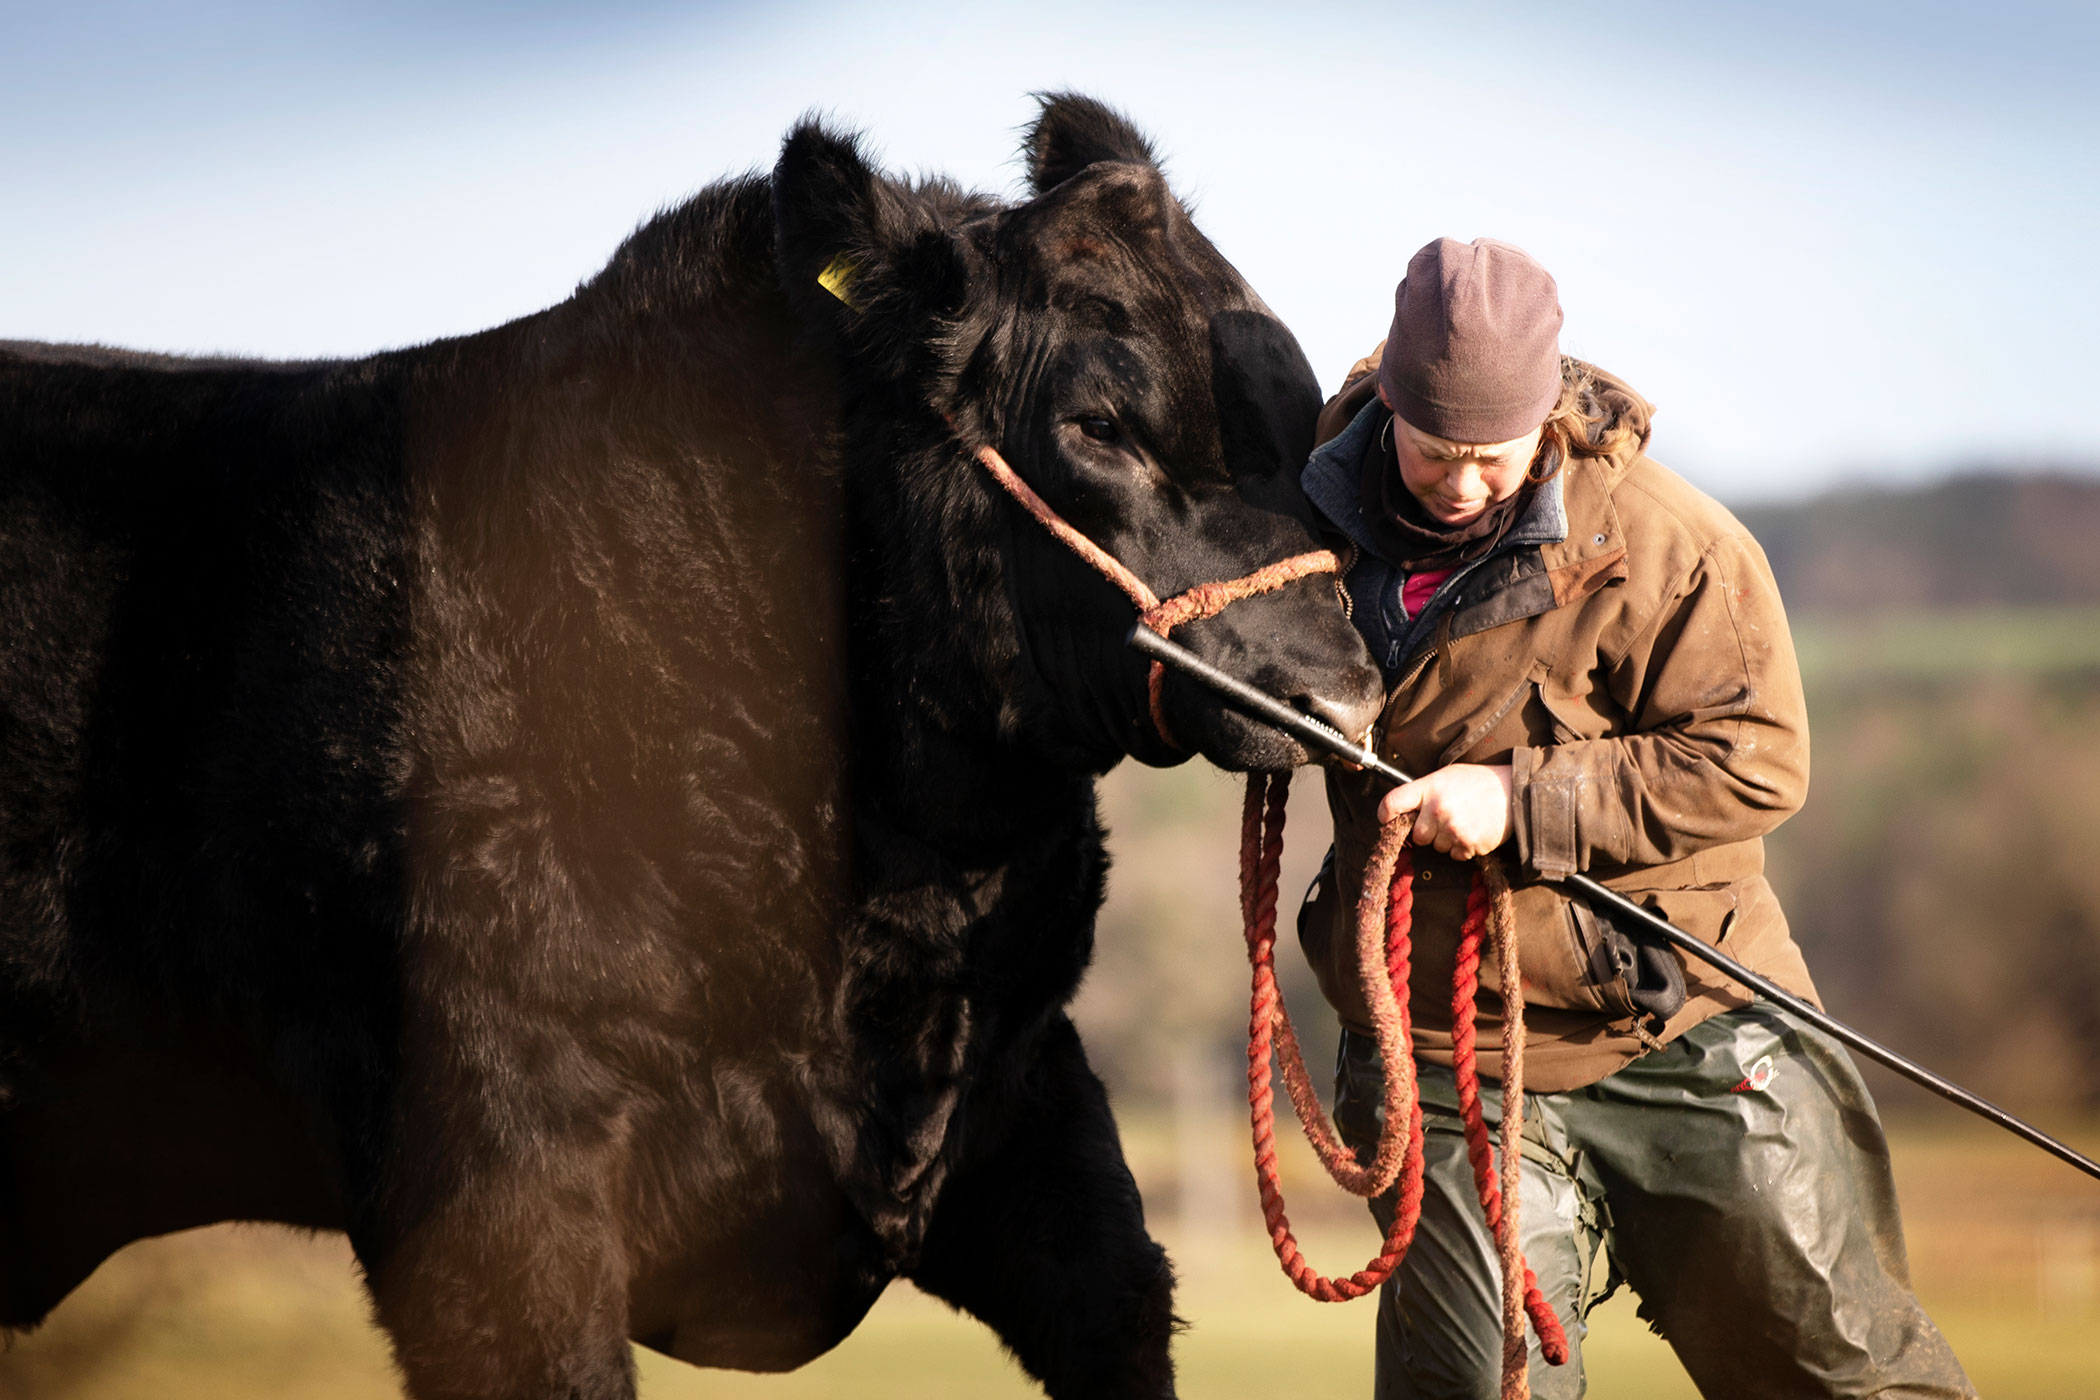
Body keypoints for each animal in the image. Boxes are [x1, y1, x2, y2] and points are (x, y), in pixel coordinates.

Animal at [0, 95, 1382, 1398]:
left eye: (1306, 408)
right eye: (1098, 425)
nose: (1341, 693)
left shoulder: (1031, 1106)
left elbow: (1121, 1308)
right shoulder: (486, 1190)